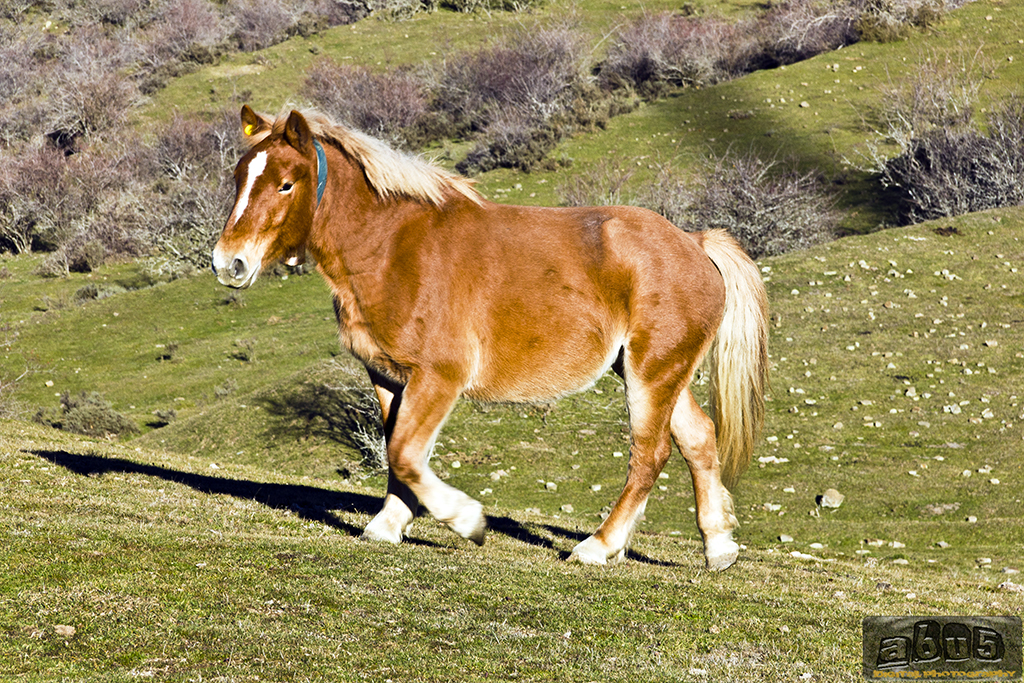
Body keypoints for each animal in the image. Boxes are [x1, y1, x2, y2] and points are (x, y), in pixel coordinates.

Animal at [213, 106, 769, 571]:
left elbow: (407, 454)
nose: (228, 264)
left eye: (286, 184)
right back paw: (718, 547)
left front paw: (466, 519)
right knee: (698, 438)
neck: (392, 247)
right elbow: (396, 452)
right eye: (239, 177)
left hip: (651, 374)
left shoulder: (439, 377)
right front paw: (389, 524)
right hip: (650, 371)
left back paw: (598, 546)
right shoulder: (388, 377)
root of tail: (694, 243)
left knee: (649, 456)